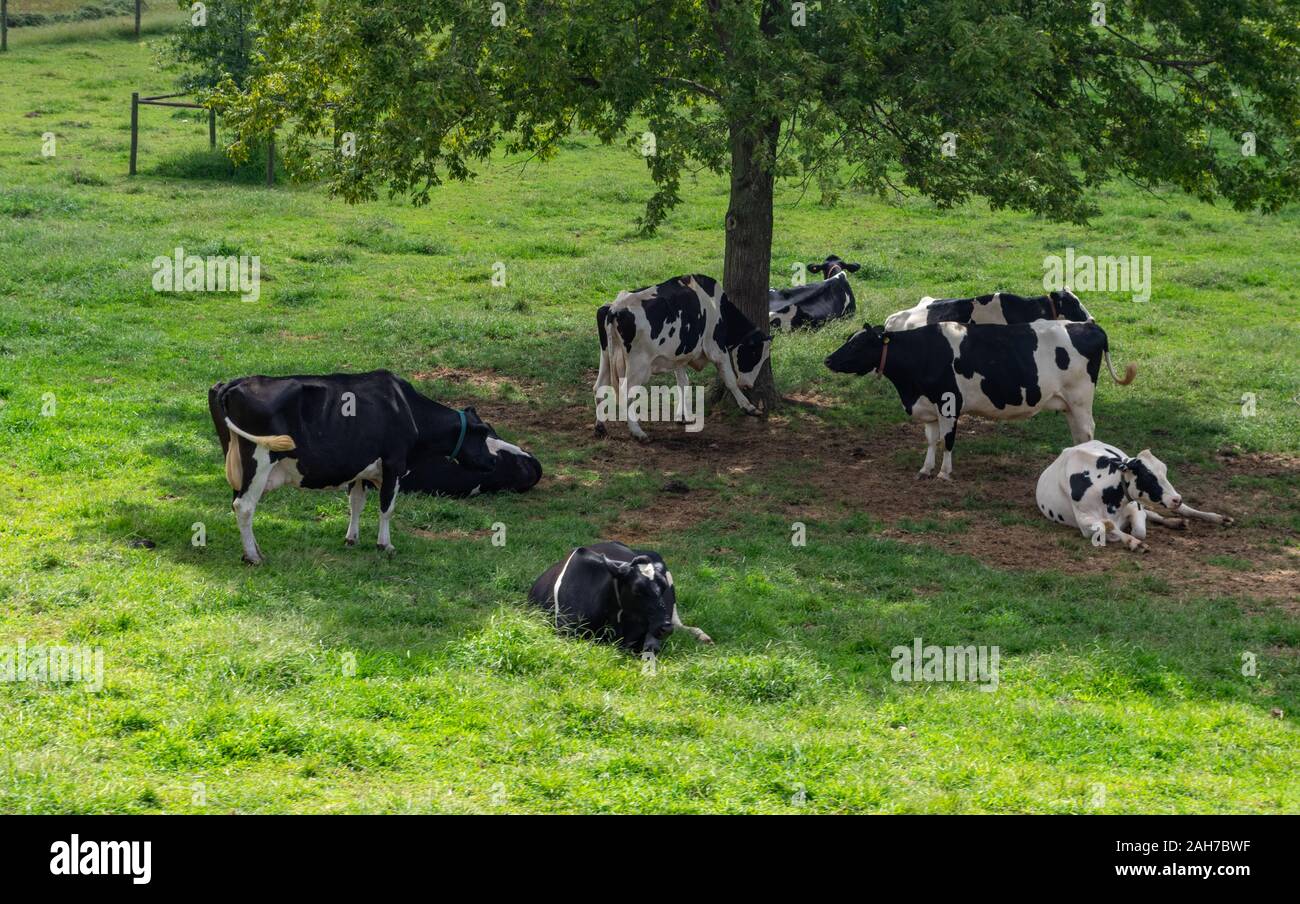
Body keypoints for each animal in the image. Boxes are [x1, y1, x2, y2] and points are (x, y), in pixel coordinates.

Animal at [208, 370, 499, 564]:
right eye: (483, 433)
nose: (494, 461)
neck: (406, 408)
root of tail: (233, 383)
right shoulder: (394, 463)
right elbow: (386, 508)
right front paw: (385, 544)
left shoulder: (360, 468)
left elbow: (356, 503)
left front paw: (352, 538)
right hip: (258, 458)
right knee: (244, 506)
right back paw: (253, 557)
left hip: (237, 465)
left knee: (238, 503)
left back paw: (254, 550)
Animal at [528, 541, 712, 656]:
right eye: (637, 590)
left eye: (663, 586)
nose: (665, 628)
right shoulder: (566, 631)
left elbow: (650, 646)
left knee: (679, 624)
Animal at [594, 274, 771, 441]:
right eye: (755, 353)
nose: (748, 385)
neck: (717, 306)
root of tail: (615, 308)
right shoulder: (717, 349)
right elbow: (730, 380)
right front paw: (749, 407)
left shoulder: (679, 356)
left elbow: (683, 382)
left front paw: (682, 416)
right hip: (638, 365)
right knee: (626, 392)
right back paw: (637, 432)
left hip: (606, 356)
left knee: (599, 387)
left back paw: (600, 427)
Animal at [824, 320, 1136, 480]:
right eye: (849, 339)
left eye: (858, 343)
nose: (828, 359)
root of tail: (1089, 325)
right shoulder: (928, 406)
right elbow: (931, 440)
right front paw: (925, 468)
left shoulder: (949, 403)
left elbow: (948, 440)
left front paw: (944, 473)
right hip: (1069, 404)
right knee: (1079, 436)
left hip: (1081, 399)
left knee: (1087, 432)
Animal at [1036, 441, 1233, 552]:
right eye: (1148, 476)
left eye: (1165, 471)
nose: (1177, 498)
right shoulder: (1085, 522)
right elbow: (1108, 527)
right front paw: (1133, 543)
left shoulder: (1134, 506)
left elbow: (1140, 529)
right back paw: (1176, 521)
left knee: (1181, 510)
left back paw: (1218, 518)